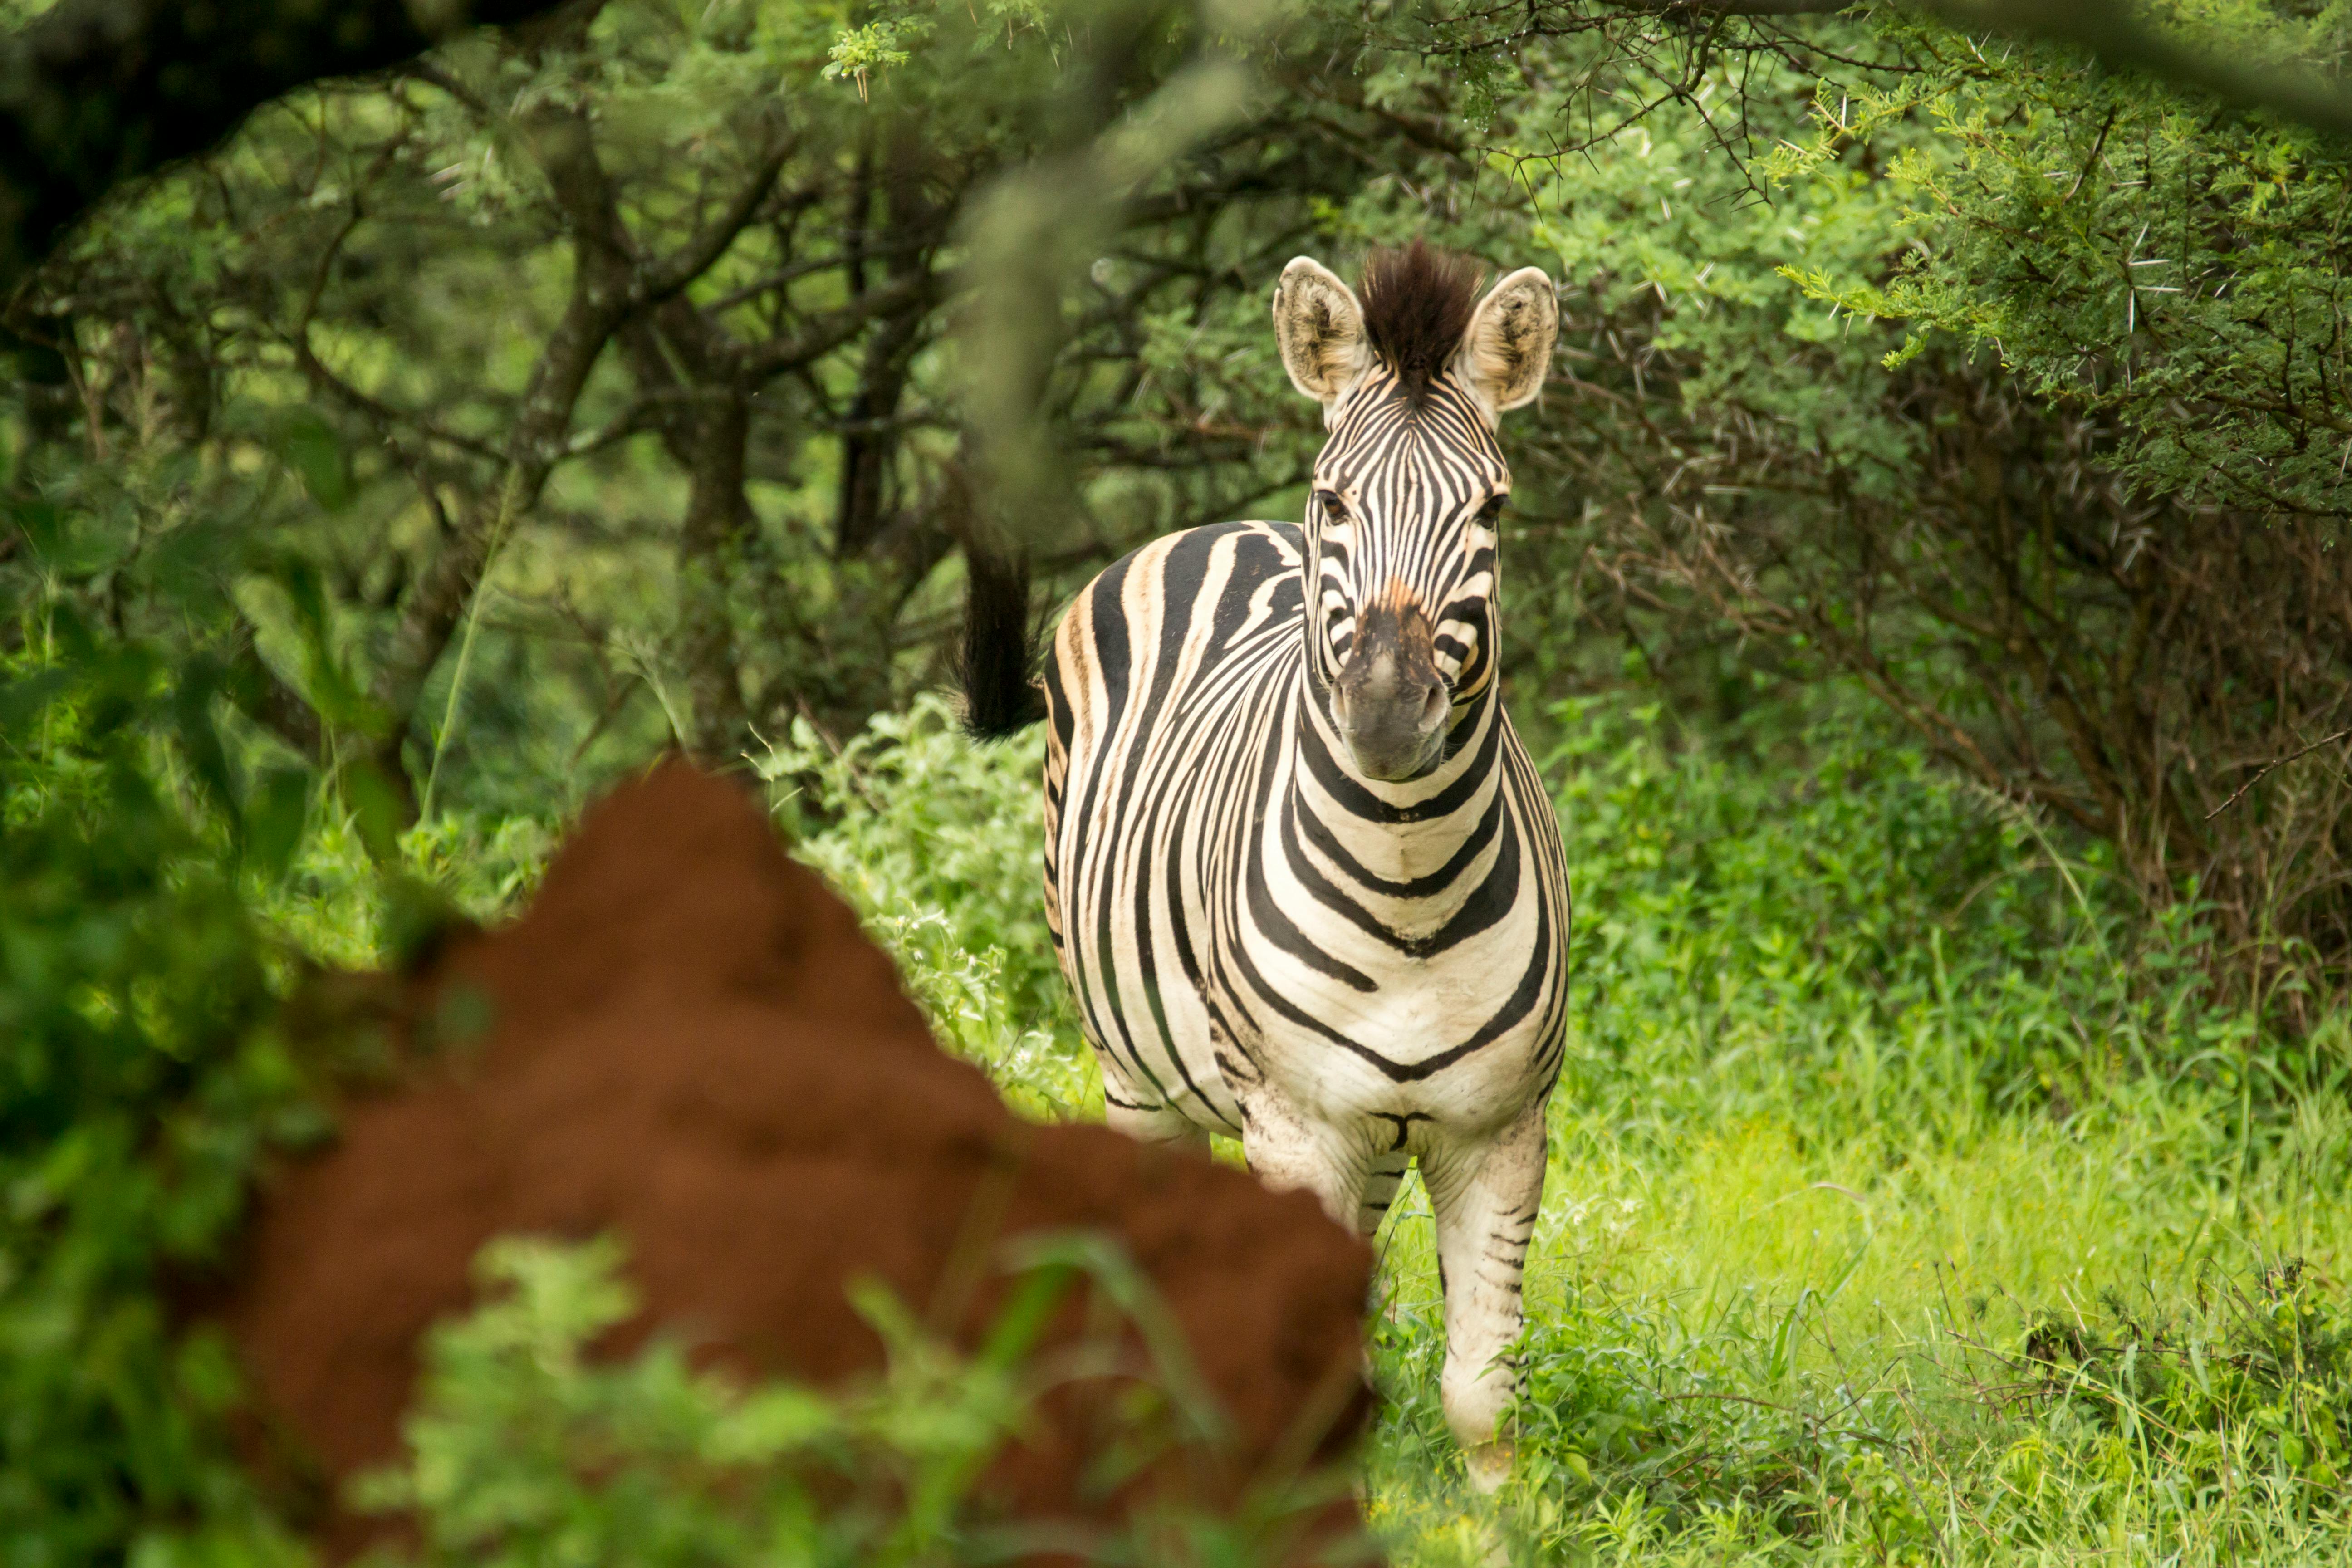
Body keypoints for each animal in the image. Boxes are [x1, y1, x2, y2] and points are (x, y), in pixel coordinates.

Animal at [963, 242, 1569, 1489]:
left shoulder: (1498, 1134)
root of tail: (1222, 529)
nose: (1384, 711)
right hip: (1135, 1072)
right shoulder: (1293, 1125)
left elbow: (1481, 1399)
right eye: (1333, 499)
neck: (1411, 885)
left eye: (1491, 508)